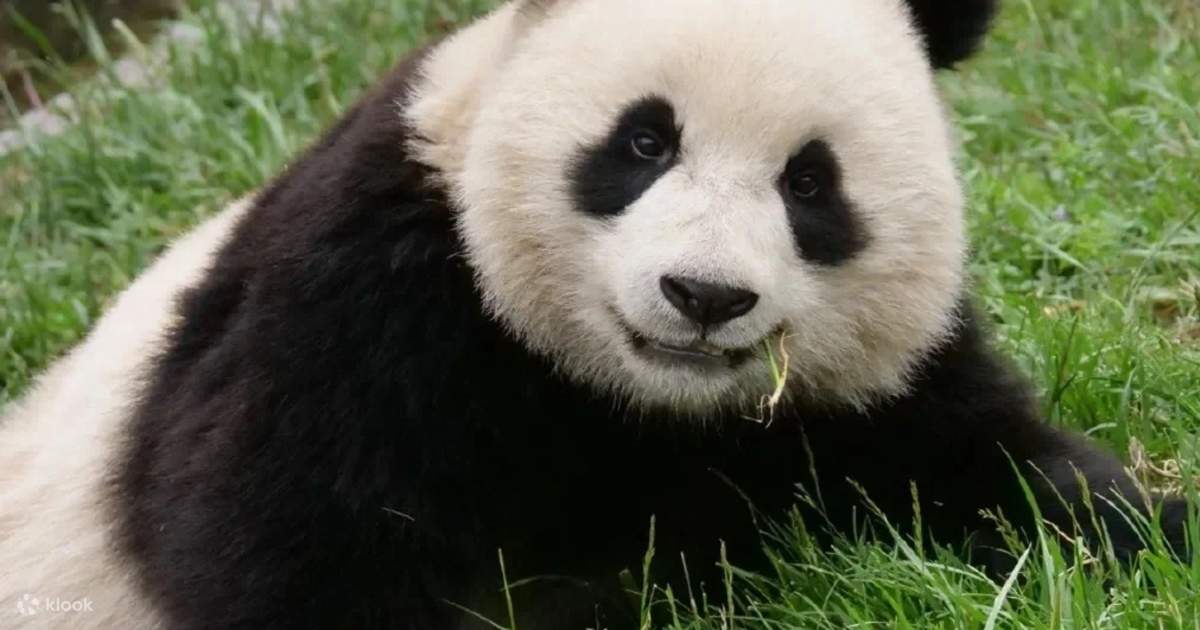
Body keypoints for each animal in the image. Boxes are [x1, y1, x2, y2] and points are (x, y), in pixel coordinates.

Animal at [0, 0, 1191, 628]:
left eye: (810, 182)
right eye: (643, 140)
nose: (704, 297)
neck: (639, 406)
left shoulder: (869, 389)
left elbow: (1000, 475)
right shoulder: (363, 309)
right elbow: (287, 549)